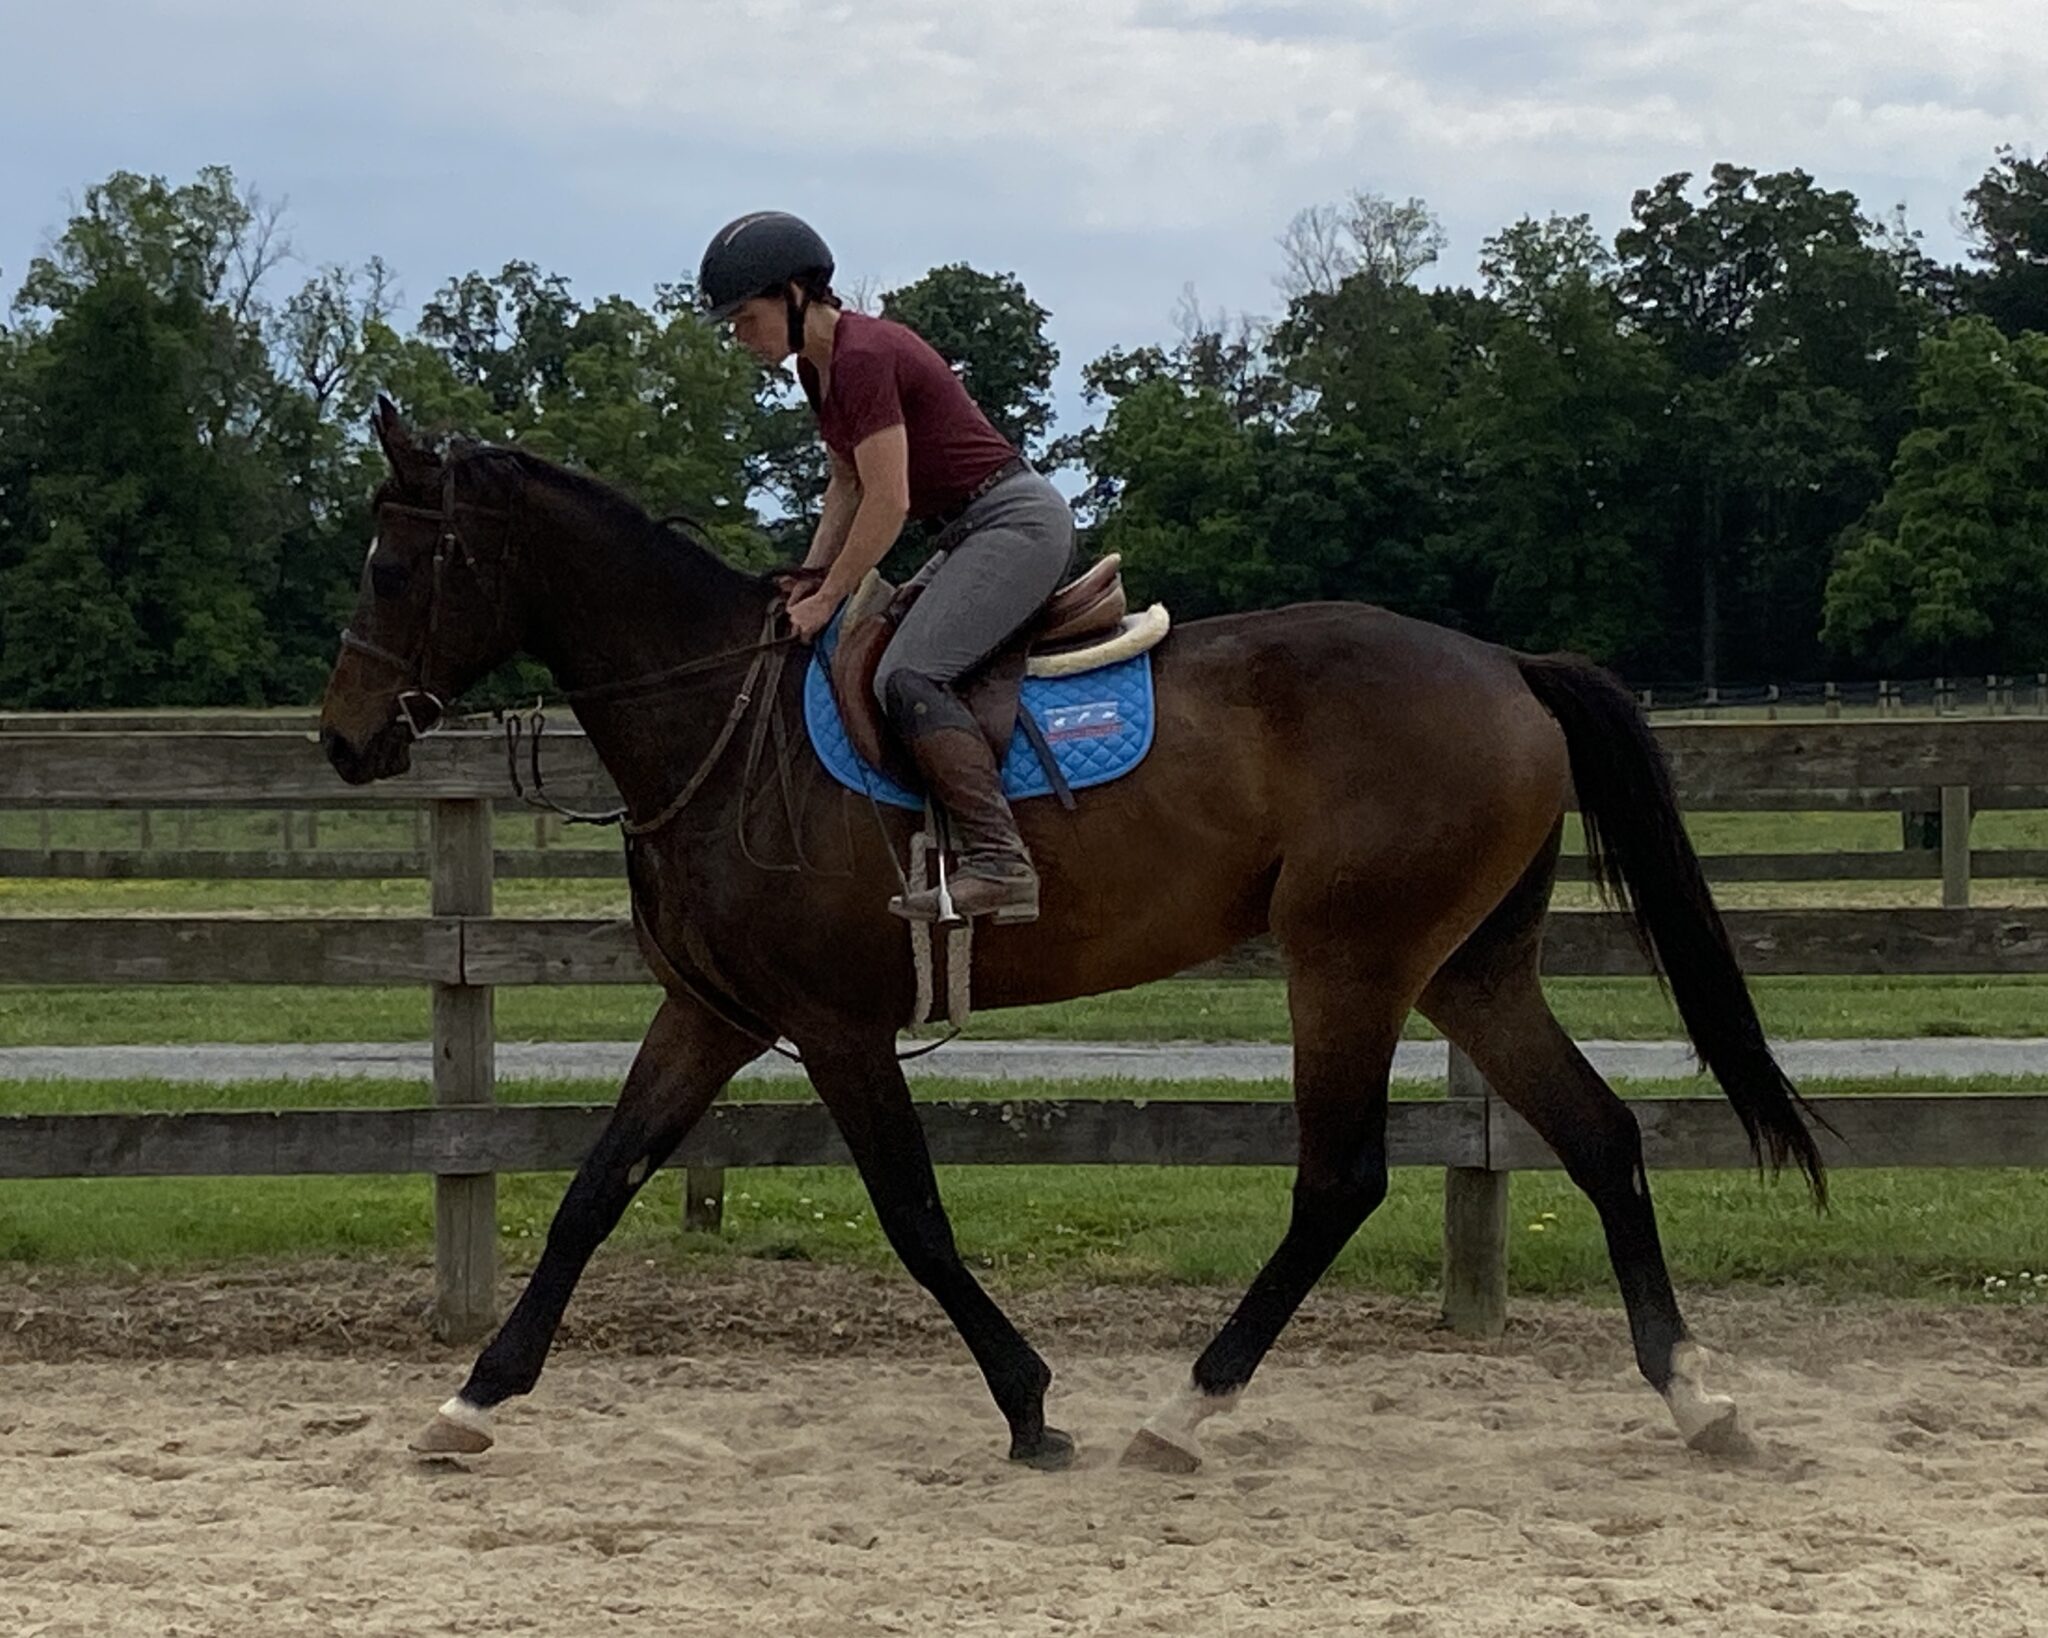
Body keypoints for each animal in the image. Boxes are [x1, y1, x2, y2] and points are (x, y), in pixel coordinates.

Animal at [320, 397, 1823, 1472]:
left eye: (394, 565)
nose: (343, 741)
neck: (720, 726)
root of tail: (1506, 665)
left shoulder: (835, 1027)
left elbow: (915, 1217)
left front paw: (1031, 1403)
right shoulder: (712, 1015)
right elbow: (591, 1192)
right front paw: (472, 1399)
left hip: (1350, 964)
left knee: (1339, 1183)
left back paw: (1186, 1409)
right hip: (1466, 970)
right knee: (1599, 1138)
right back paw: (1697, 1400)